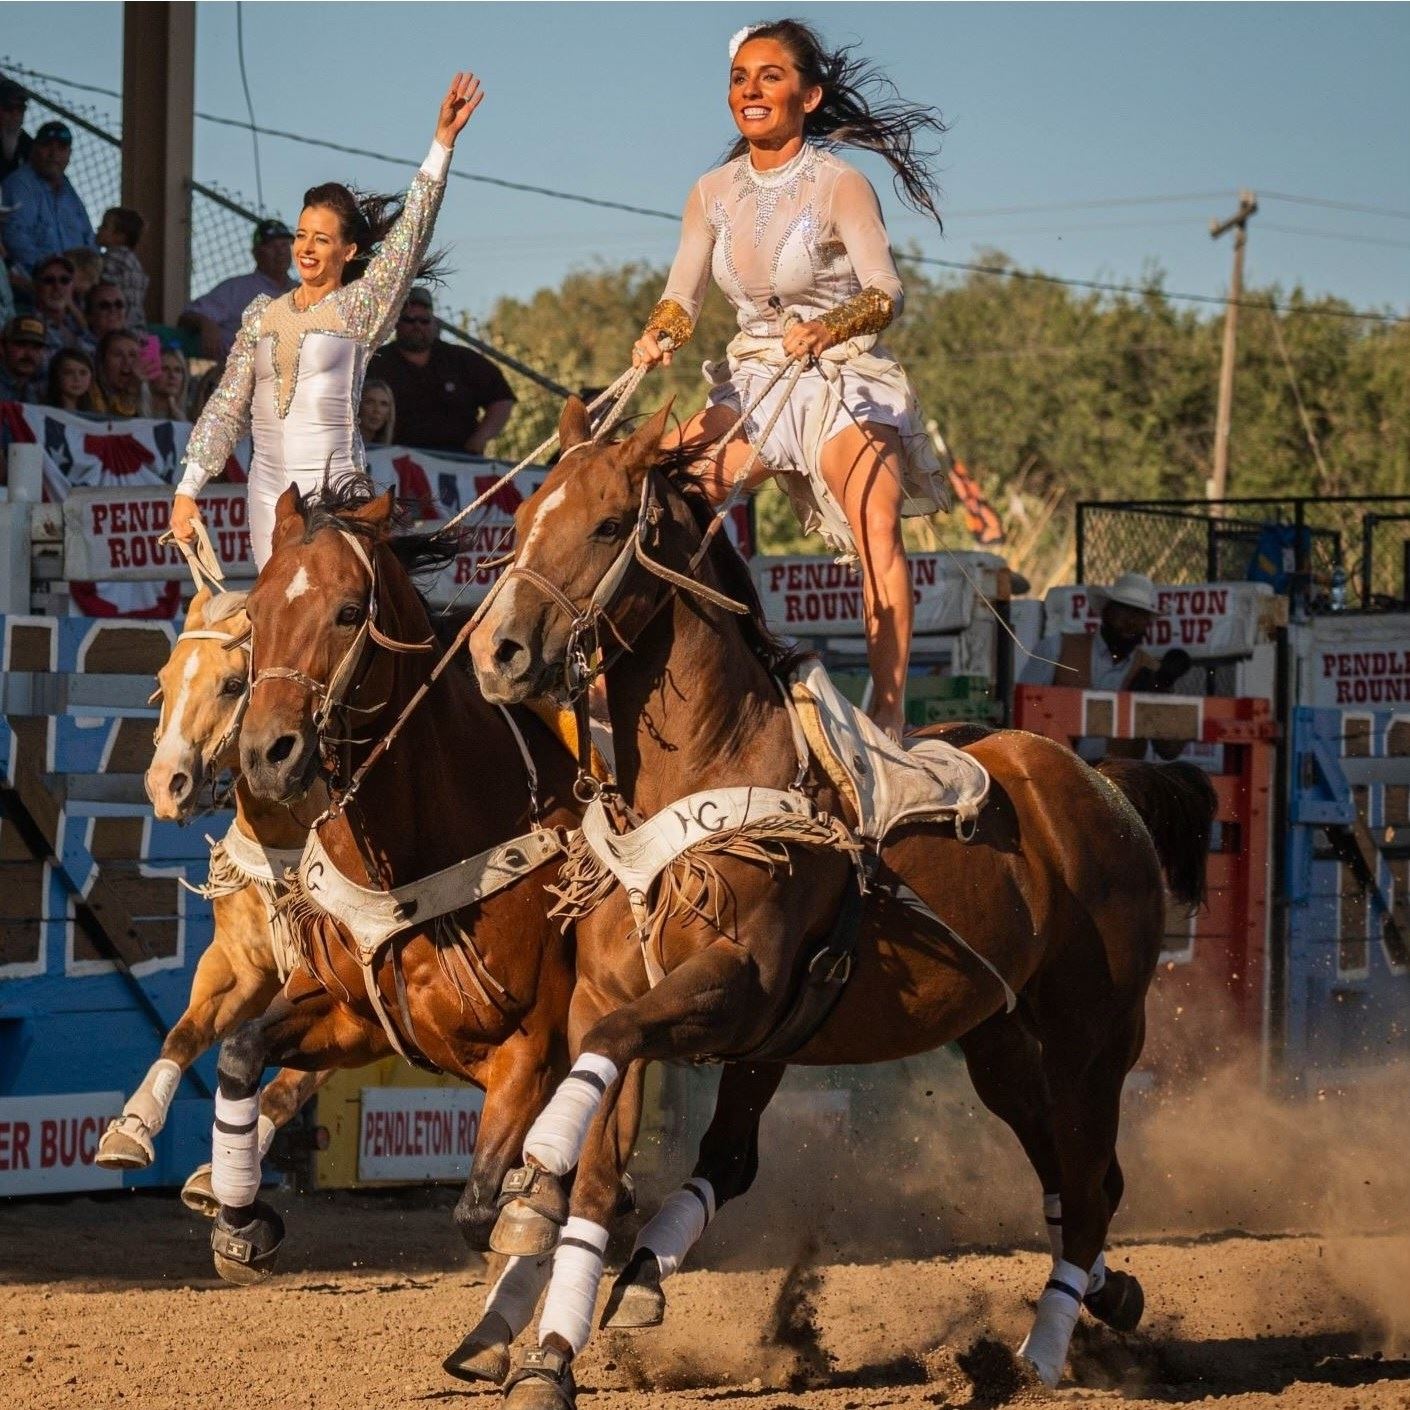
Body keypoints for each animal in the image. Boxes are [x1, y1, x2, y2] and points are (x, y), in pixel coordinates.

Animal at [96, 587, 332, 1217]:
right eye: (164, 679)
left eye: (231, 685)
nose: (165, 784)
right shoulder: (240, 967)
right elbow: (185, 1034)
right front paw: (131, 1129)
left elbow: (290, 1082)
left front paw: (219, 1173)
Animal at [466, 397, 1215, 1404]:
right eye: (517, 524)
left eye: (609, 525)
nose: (496, 652)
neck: (711, 771)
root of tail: (1102, 786)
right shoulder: (615, 999)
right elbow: (597, 1158)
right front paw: (550, 1349)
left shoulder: (730, 987)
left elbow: (604, 1073)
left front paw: (532, 1173)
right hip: (998, 1041)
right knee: (1071, 1175)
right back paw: (1103, 1299)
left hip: (1095, 1037)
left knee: (1091, 1185)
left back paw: (1042, 1353)